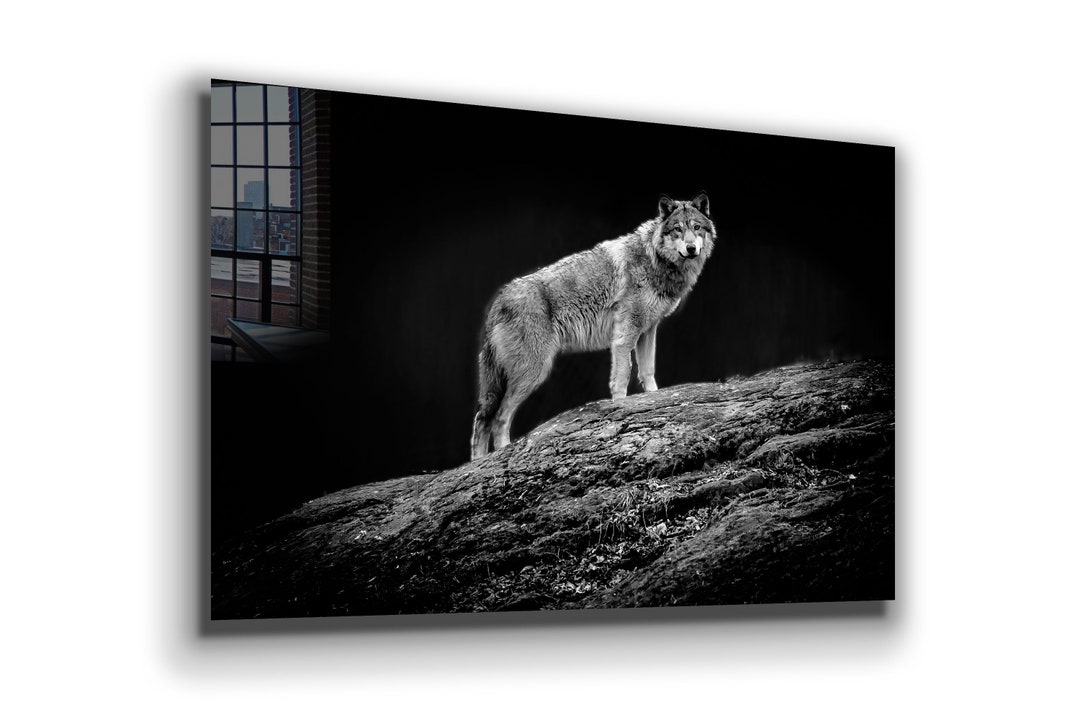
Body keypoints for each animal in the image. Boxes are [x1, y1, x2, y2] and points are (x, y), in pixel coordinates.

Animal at [470, 192, 715, 459]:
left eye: (696, 227)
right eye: (678, 229)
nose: (691, 248)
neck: (654, 258)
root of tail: (498, 300)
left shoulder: (648, 331)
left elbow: (648, 372)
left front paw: (653, 399)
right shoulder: (625, 335)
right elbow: (622, 376)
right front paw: (621, 406)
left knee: (481, 419)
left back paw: (477, 463)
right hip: (533, 372)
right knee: (498, 418)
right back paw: (500, 454)